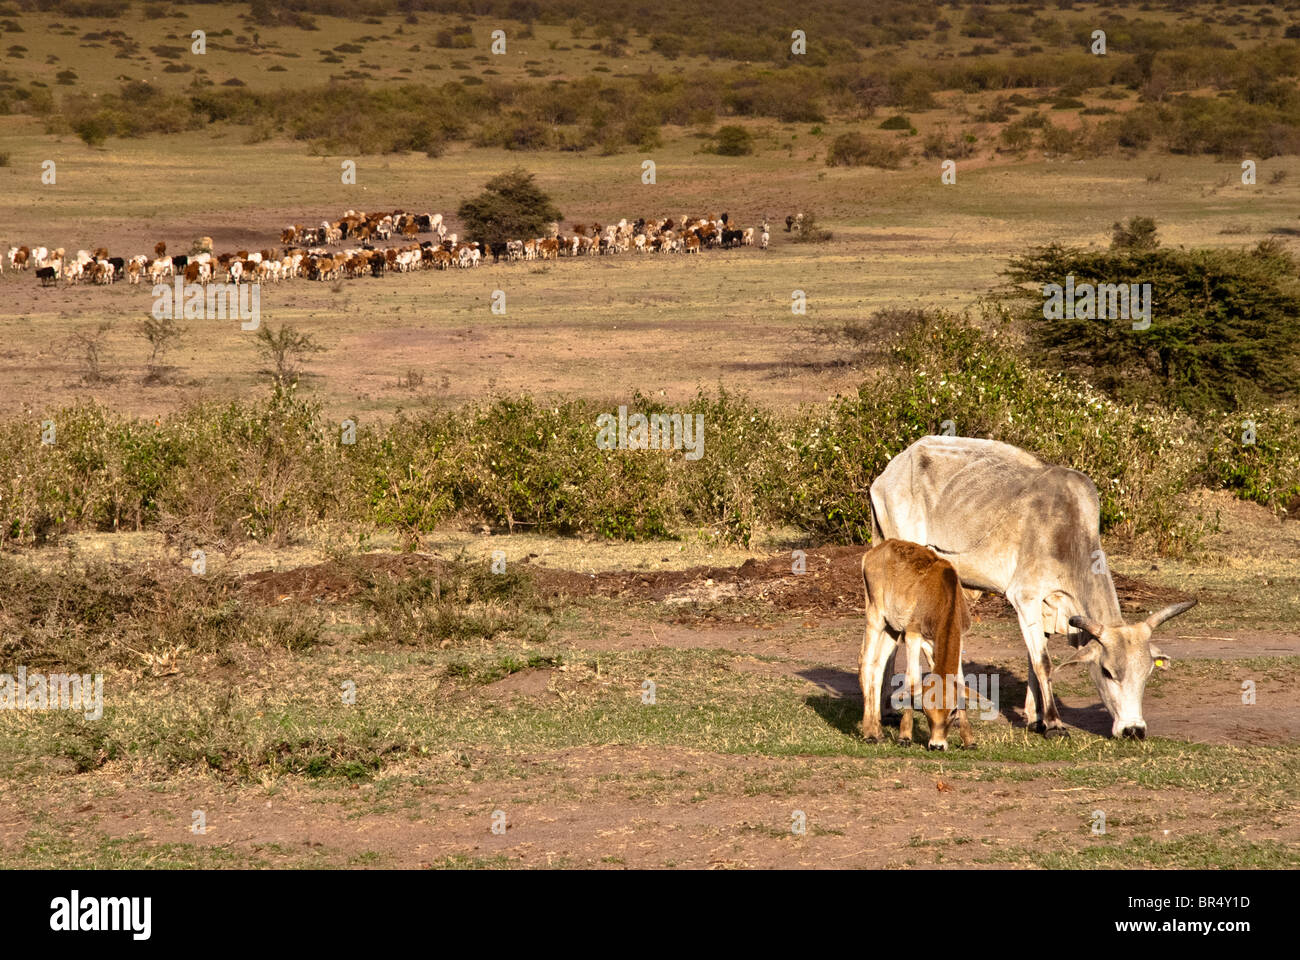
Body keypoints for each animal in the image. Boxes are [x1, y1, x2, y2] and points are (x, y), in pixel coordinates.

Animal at [859, 539, 980, 750]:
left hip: (892, 628)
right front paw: (905, 736)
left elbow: (959, 679)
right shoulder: (913, 634)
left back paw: (878, 730)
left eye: (952, 711)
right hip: (875, 615)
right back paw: (869, 733)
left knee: (878, 667)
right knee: (866, 664)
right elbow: (912, 680)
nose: (937, 745)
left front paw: (969, 740)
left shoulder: (956, 637)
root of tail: (873, 552)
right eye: (924, 710)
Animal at [869, 435, 1196, 739]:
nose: (1133, 730)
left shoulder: (1048, 606)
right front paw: (1053, 723)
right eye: (1107, 671)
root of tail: (893, 467)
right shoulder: (1025, 597)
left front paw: (1033, 717)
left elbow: (1032, 660)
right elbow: (1043, 663)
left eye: (1147, 672)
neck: (1067, 533)